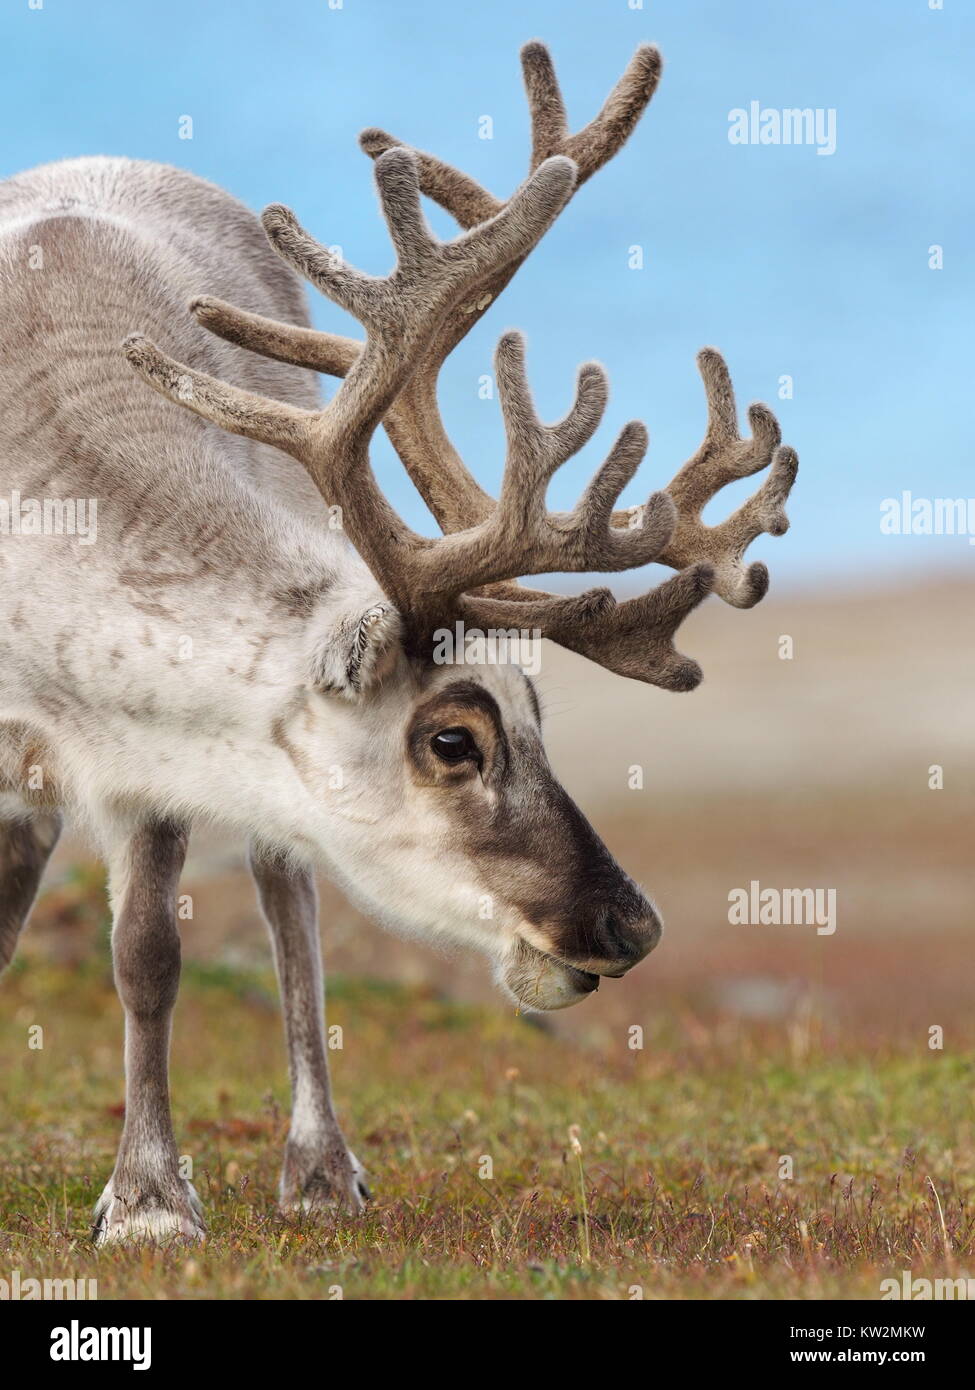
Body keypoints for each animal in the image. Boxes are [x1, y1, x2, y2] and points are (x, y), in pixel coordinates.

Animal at [0, 41, 797, 1243]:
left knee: (290, 901)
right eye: (454, 739)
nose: (630, 924)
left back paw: (322, 1170)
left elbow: (148, 952)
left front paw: (146, 1201)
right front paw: (151, 1201)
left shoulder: (151, 761)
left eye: (540, 716)